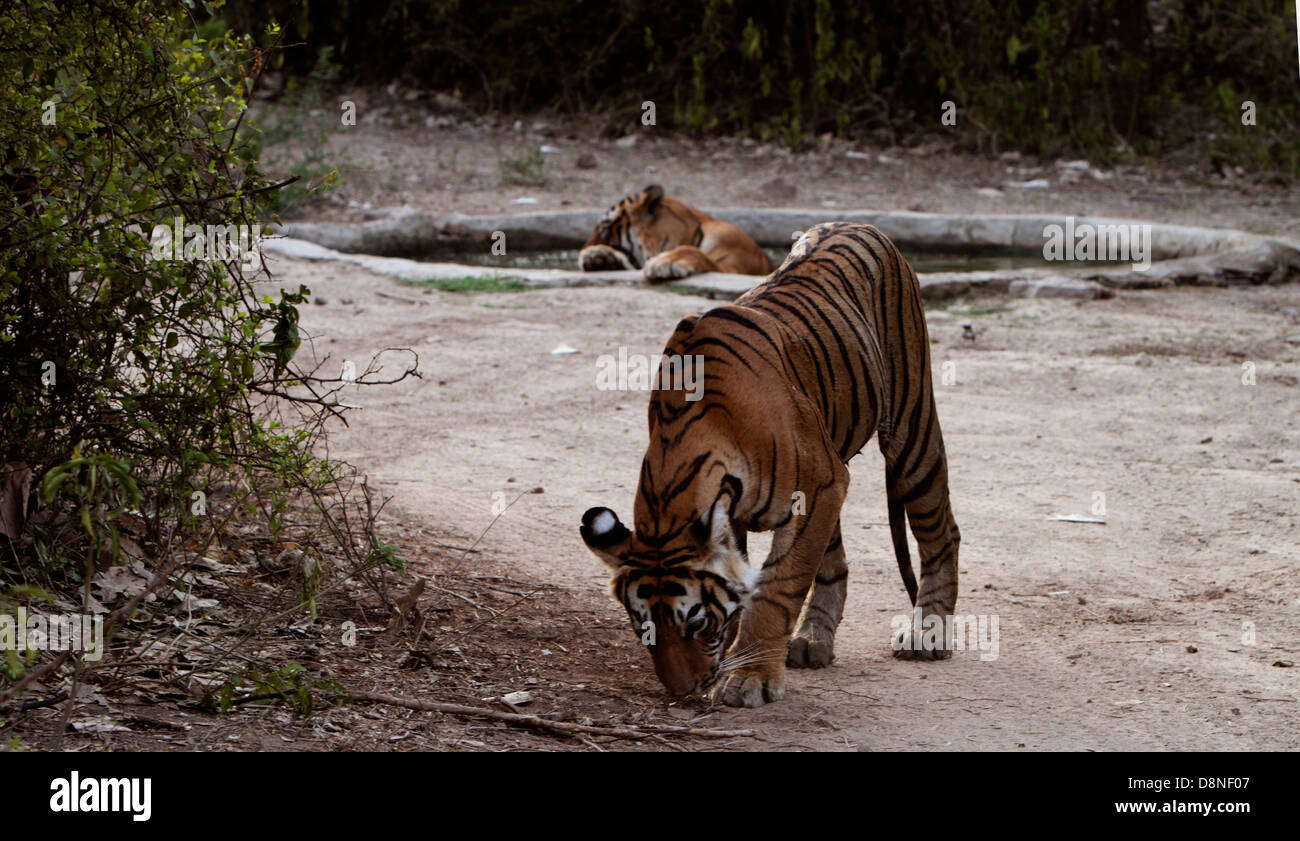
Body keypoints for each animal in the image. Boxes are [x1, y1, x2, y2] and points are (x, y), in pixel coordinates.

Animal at [578, 184, 774, 281]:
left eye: (604, 227)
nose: (583, 248)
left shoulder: (730, 267)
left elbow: (695, 252)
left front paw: (665, 262)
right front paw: (598, 256)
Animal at [580, 222, 961, 707]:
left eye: (696, 623)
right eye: (643, 629)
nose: (684, 692)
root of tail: (859, 225)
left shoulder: (821, 485)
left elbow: (780, 586)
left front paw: (750, 677)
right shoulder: (798, 497)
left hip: (911, 431)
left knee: (942, 533)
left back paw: (927, 635)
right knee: (834, 564)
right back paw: (813, 641)